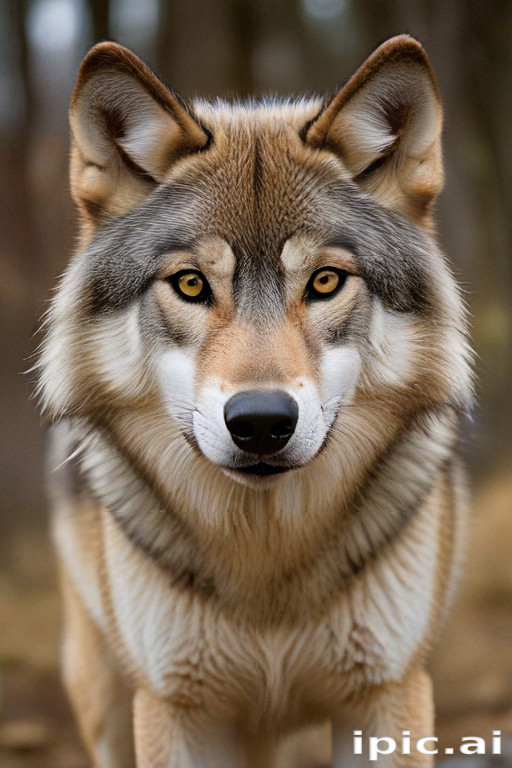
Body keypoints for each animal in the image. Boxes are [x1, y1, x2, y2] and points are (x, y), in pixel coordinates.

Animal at [37, 35, 472, 767]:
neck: (266, 563)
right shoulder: (178, 709)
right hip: (105, 696)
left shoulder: (387, 694)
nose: (262, 423)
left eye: (325, 282)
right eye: (190, 284)